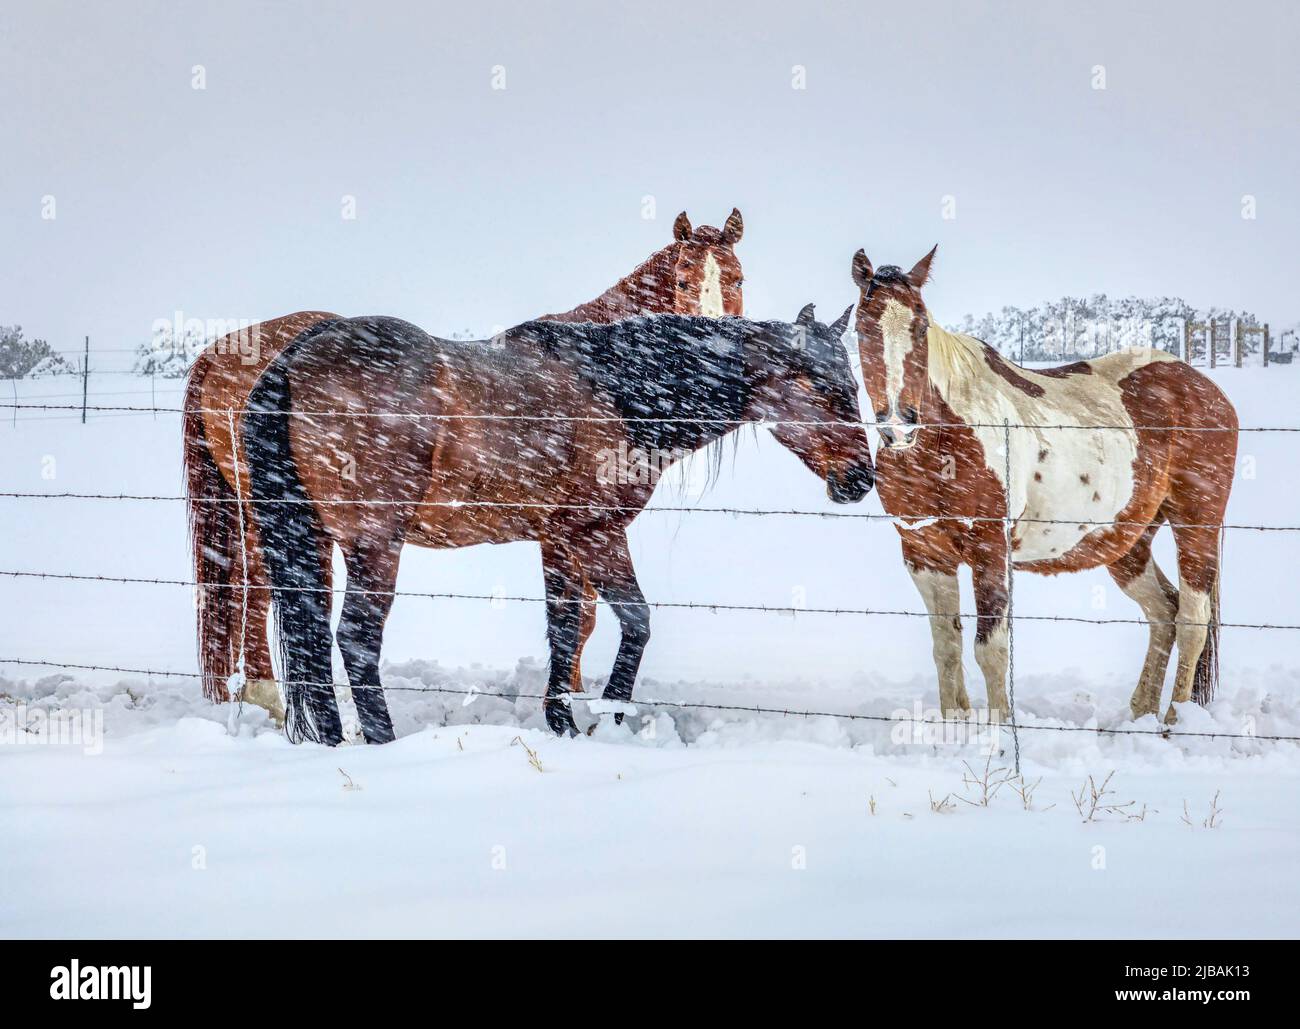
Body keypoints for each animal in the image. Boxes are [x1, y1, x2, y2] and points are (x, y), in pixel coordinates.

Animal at [183, 209, 745, 719]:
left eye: (736, 278)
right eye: (683, 279)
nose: (716, 349)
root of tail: (227, 352)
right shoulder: (571, 531)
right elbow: (581, 619)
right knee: (268, 594)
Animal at [241, 303, 873, 744]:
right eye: (827, 388)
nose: (860, 479)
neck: (619, 392)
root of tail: (295, 358)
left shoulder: (558, 539)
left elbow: (567, 627)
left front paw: (563, 722)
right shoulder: (596, 532)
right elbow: (637, 620)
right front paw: (610, 714)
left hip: (315, 538)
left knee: (313, 634)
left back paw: (331, 740)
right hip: (374, 543)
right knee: (355, 637)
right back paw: (383, 741)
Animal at [850, 246, 1237, 725]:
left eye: (920, 325)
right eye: (861, 327)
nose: (898, 426)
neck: (944, 442)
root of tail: (1204, 386)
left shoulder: (990, 550)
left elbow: (990, 650)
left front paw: (998, 729)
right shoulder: (924, 553)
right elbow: (946, 647)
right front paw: (954, 726)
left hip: (1196, 523)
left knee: (1191, 620)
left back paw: (1173, 722)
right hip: (1127, 542)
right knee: (1163, 610)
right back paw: (1141, 714)